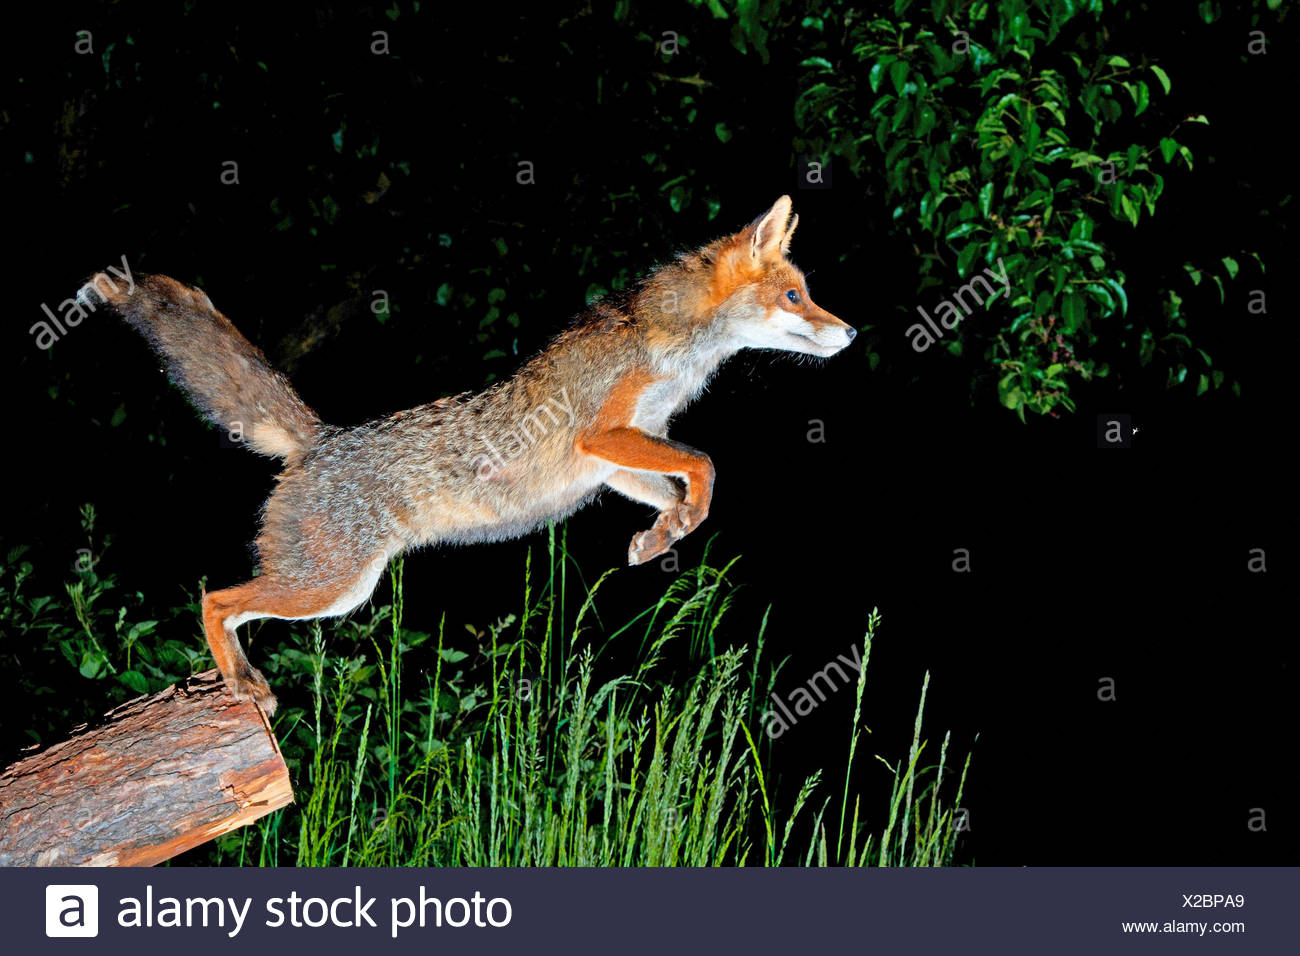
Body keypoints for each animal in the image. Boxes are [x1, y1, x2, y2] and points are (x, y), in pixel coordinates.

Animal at [90, 195, 854, 715]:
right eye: (795, 295)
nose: (849, 332)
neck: (675, 350)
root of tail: (321, 438)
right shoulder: (599, 433)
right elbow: (706, 465)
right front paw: (676, 523)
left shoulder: (616, 458)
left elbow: (681, 487)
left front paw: (661, 536)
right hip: (329, 588)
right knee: (213, 598)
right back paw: (240, 681)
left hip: (335, 593)